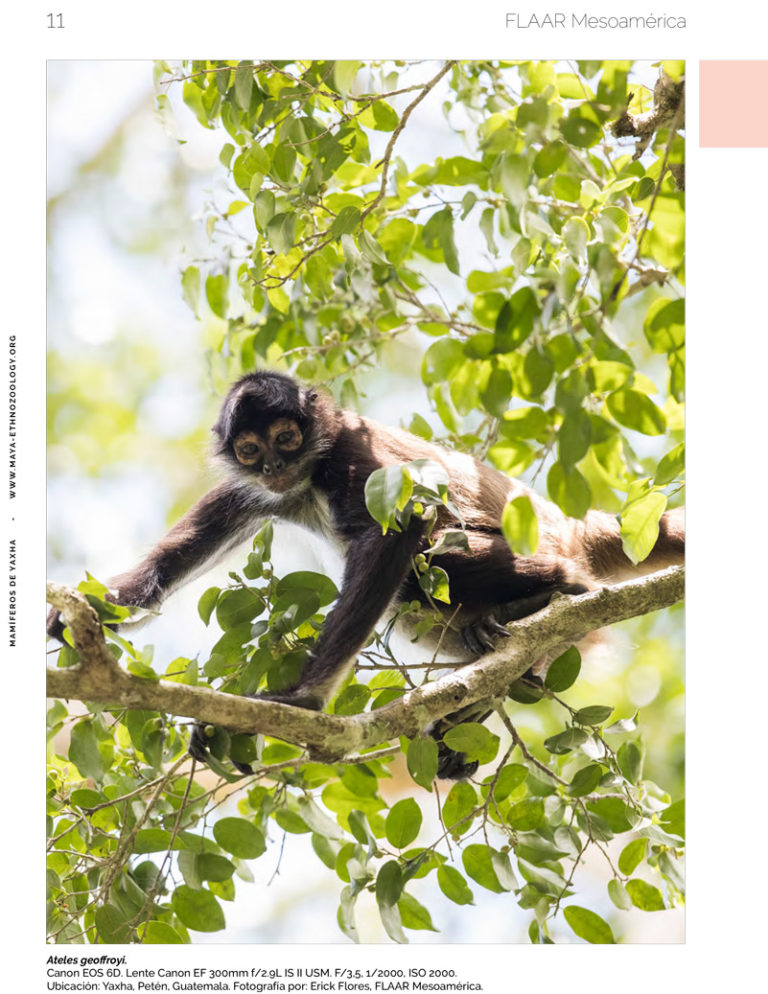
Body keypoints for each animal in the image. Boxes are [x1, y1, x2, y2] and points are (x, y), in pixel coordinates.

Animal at [47, 370, 684, 779]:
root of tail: (572, 527)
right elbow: (162, 570)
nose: (274, 465)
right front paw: (68, 622)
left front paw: (302, 701)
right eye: (251, 451)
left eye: (286, 438)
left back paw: (556, 590)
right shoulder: (249, 491)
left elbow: (401, 526)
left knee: (422, 564)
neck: (309, 477)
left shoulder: (350, 456)